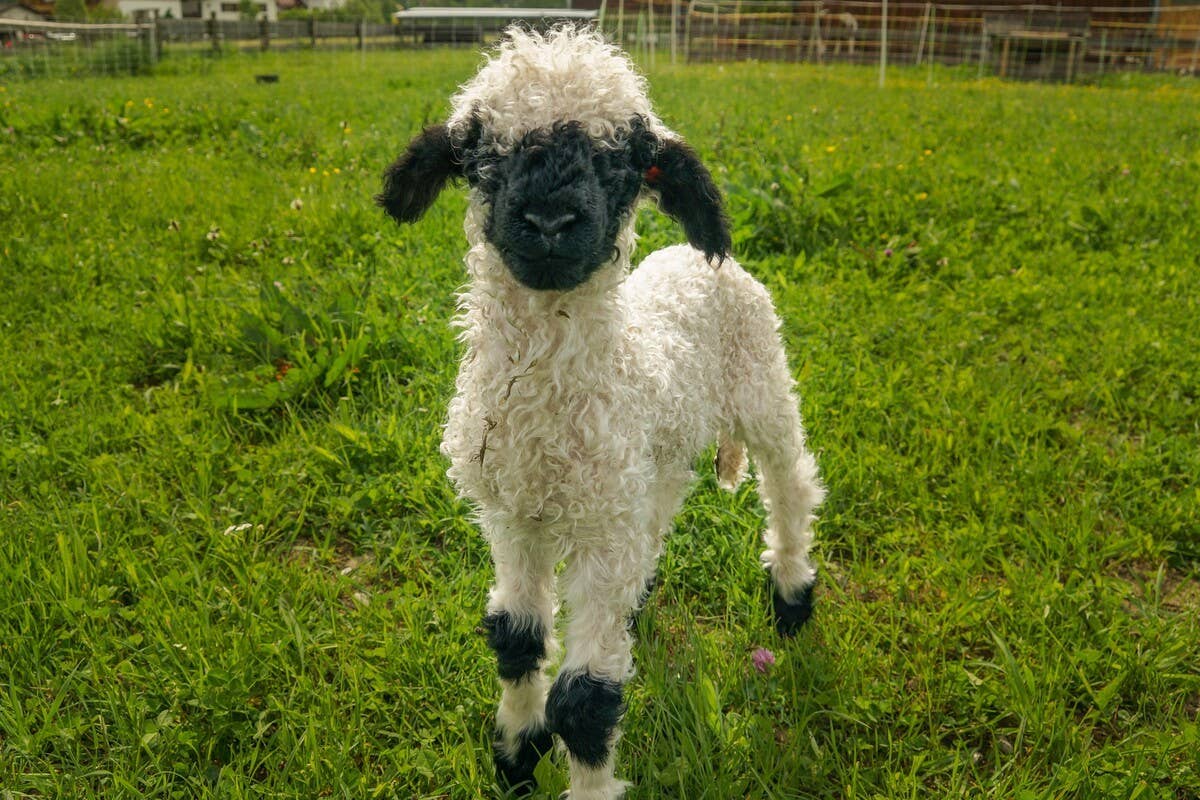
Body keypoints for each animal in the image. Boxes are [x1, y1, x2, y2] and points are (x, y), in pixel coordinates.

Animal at [376, 25, 824, 800]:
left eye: (626, 162)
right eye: (480, 155)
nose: (550, 220)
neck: (548, 418)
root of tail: (691, 259)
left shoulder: (599, 526)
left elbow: (585, 703)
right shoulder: (515, 516)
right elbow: (516, 641)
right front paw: (516, 753)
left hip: (764, 384)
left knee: (790, 481)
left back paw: (793, 593)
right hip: (653, 458)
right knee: (665, 507)